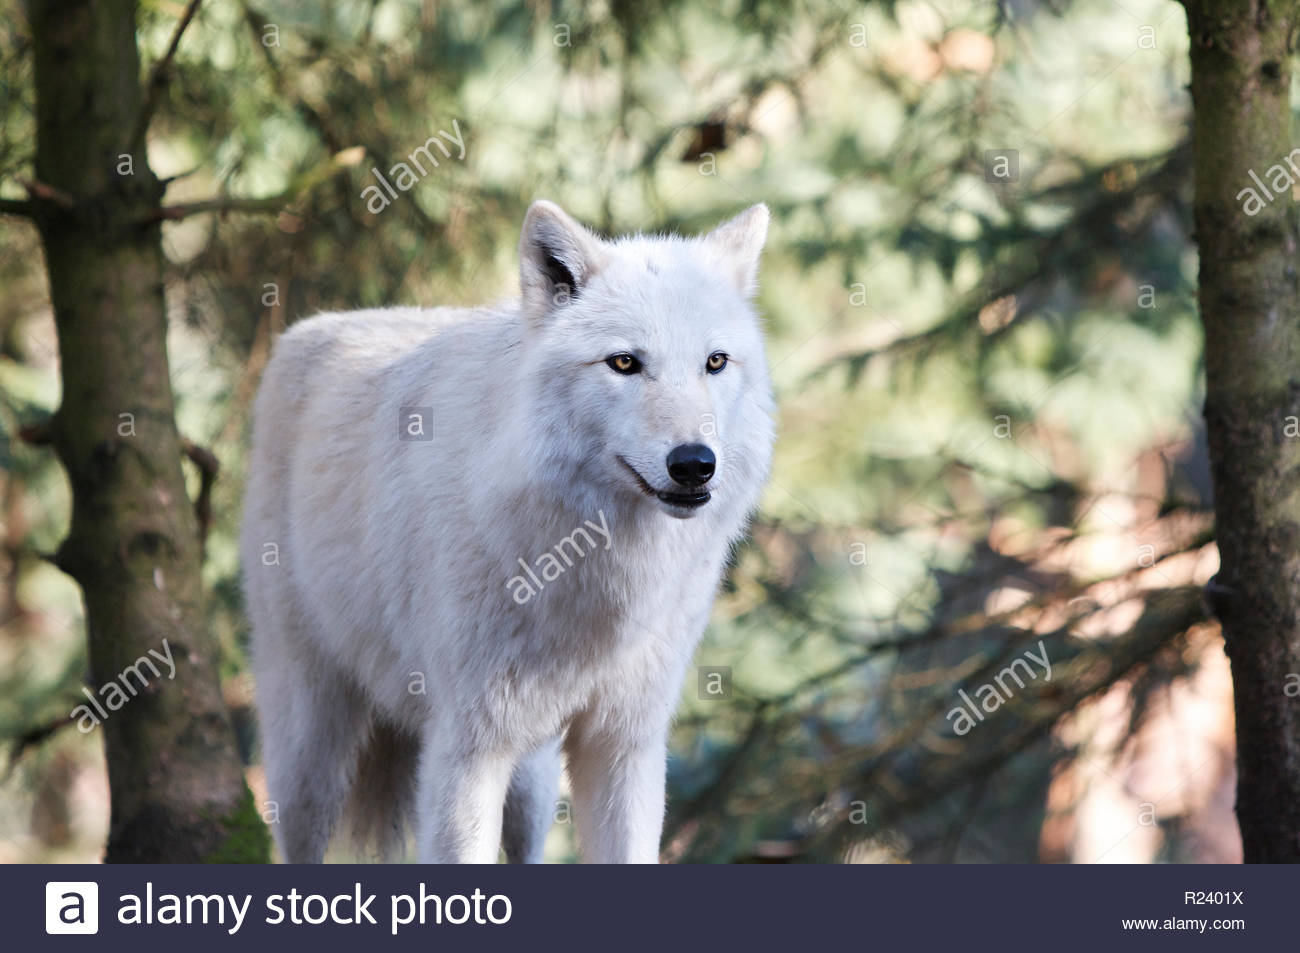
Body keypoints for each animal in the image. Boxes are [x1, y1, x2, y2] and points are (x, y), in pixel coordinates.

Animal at [240, 200, 774, 863]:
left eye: (715, 362)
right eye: (625, 362)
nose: (695, 463)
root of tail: (304, 332)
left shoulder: (624, 745)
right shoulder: (467, 748)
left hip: (534, 779)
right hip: (310, 746)